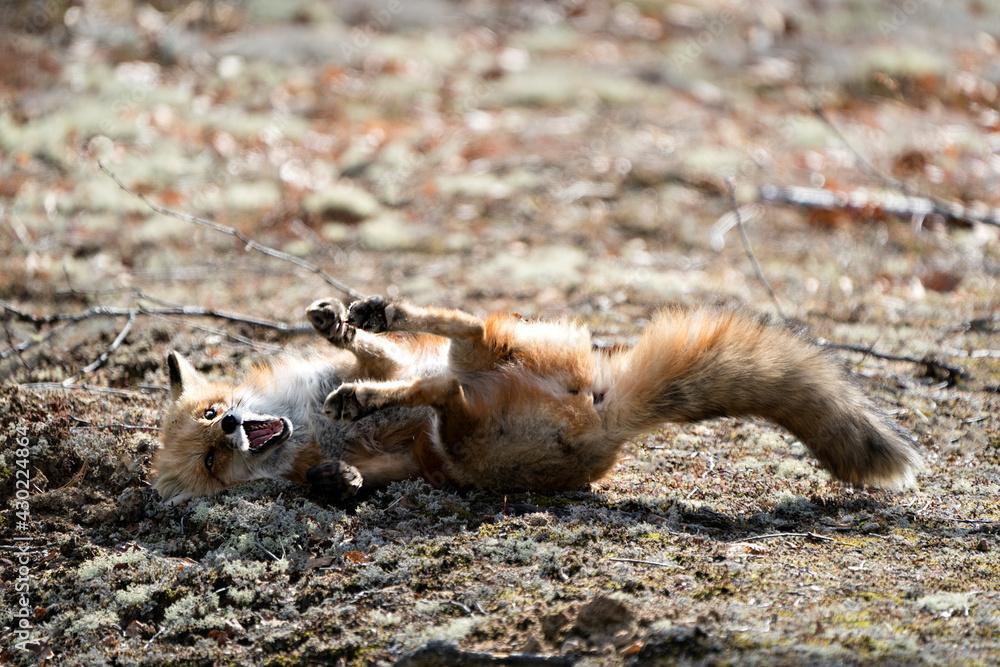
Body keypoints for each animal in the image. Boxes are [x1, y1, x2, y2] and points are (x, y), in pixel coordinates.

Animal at [153, 296, 921, 504]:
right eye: (213, 460)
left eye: (211, 413)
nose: (231, 423)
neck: (306, 423)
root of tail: (606, 422)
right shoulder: (408, 460)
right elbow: (355, 472)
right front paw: (336, 479)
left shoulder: (382, 367)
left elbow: (377, 355)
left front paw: (341, 328)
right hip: (466, 438)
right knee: (447, 383)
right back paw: (365, 394)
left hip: (489, 362)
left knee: (463, 331)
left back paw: (376, 316)